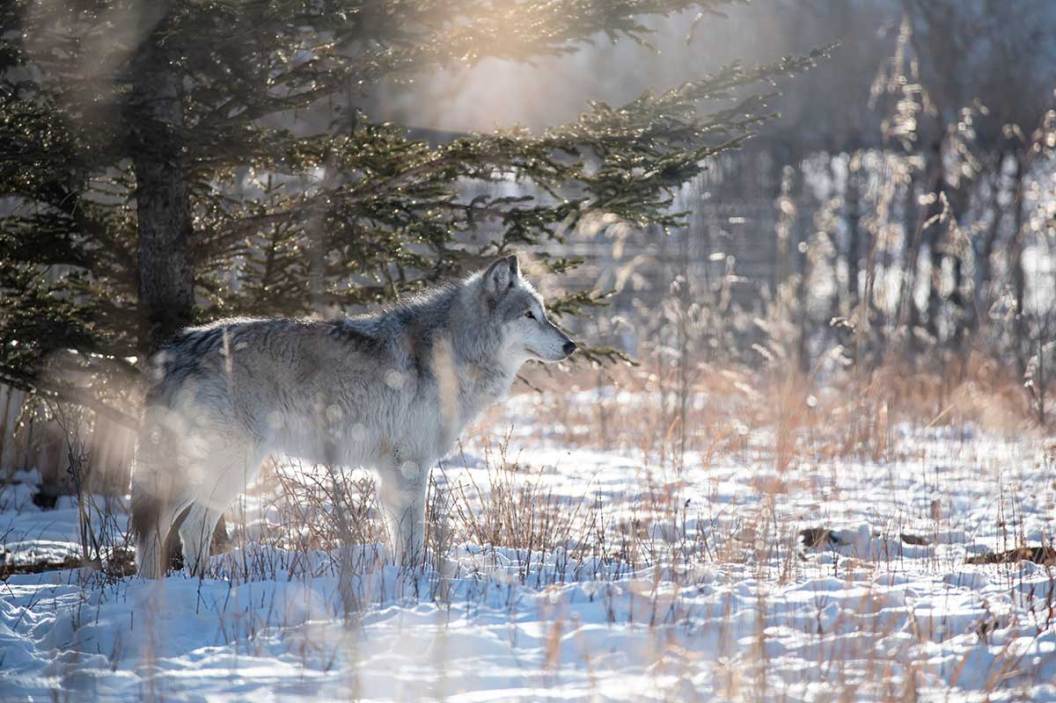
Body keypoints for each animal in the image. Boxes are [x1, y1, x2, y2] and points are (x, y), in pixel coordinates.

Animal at [131, 255, 576, 578]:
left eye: (545, 313)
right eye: (529, 315)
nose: (571, 345)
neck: (453, 351)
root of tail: (178, 348)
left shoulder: (393, 469)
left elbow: (399, 535)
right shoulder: (410, 464)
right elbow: (414, 535)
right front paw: (417, 580)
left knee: (171, 527)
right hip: (230, 464)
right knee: (178, 527)